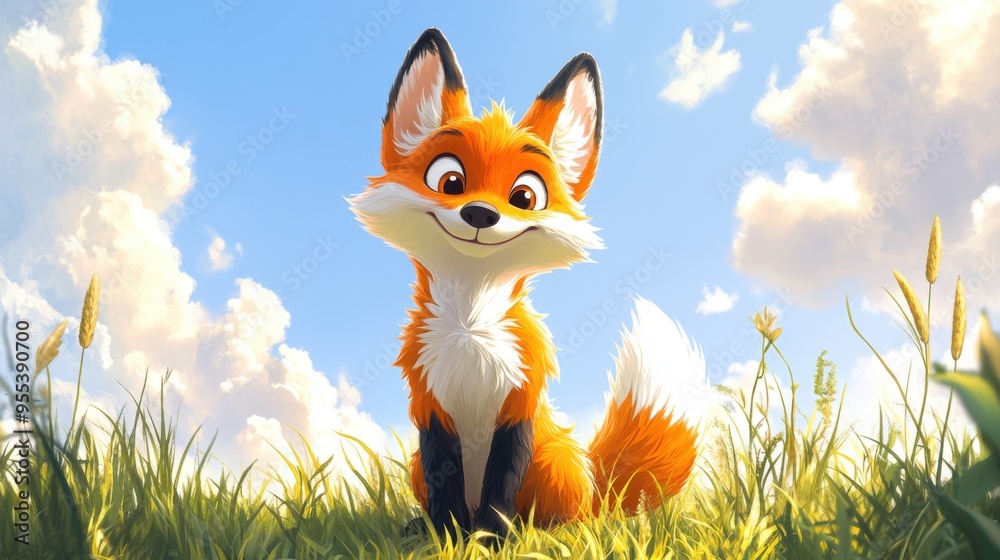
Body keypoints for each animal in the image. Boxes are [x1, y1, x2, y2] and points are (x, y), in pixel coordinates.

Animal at [349, 28, 709, 539]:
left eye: (524, 195)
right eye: (450, 180)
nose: (481, 214)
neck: (472, 330)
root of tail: (598, 486)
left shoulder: (518, 403)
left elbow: (502, 483)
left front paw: (491, 539)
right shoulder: (431, 408)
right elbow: (445, 488)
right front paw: (449, 538)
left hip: (555, 460)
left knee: (571, 519)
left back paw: (545, 532)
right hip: (417, 462)